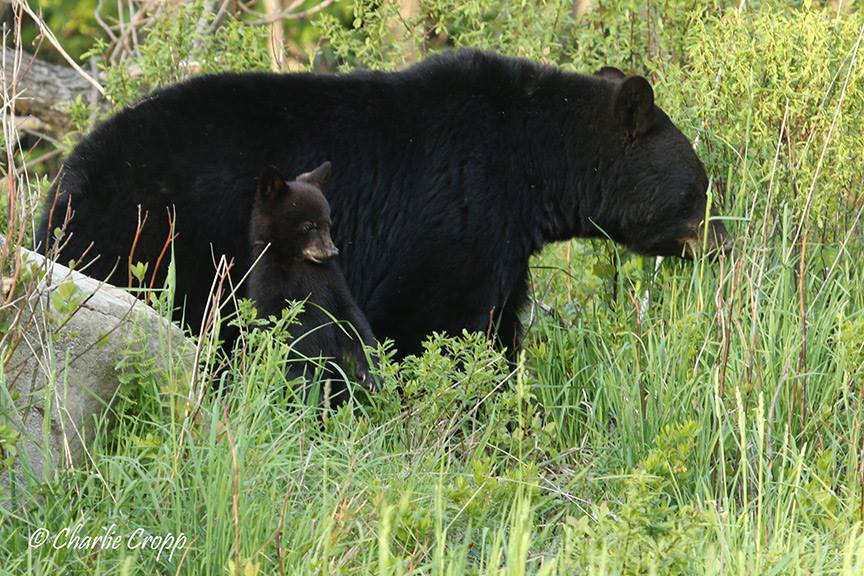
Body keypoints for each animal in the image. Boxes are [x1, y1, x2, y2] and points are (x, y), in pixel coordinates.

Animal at [36, 49, 731, 359]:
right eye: (700, 190)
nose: (723, 242)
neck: (535, 163)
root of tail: (67, 179)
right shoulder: (459, 212)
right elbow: (436, 319)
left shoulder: (504, 238)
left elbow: (498, 321)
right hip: (156, 239)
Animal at [247, 162, 378, 402]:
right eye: (308, 226)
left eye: (328, 224)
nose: (333, 251)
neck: (296, 261)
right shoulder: (266, 284)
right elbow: (279, 336)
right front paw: (304, 387)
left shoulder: (332, 280)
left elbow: (351, 318)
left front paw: (370, 373)